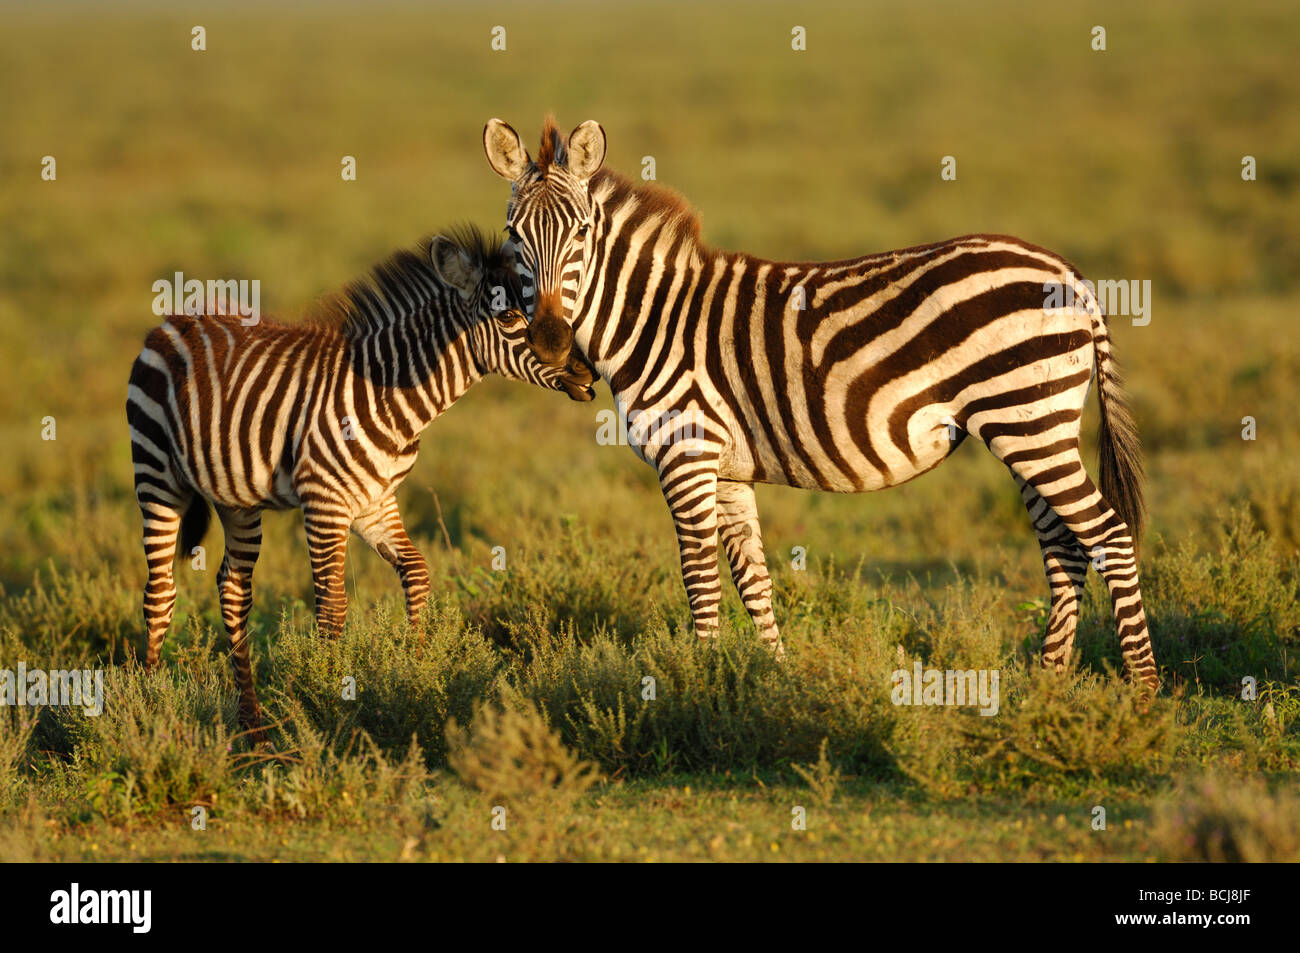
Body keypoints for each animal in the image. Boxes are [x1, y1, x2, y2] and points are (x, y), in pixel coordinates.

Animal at [126, 226, 596, 740]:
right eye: (510, 315)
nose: (587, 372)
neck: (393, 399)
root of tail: (174, 319)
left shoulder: (376, 501)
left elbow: (417, 572)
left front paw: (420, 674)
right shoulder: (325, 503)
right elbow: (332, 609)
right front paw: (326, 704)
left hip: (237, 498)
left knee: (233, 590)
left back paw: (252, 725)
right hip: (156, 475)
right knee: (160, 592)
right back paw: (149, 708)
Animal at [483, 117, 1158, 691]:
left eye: (582, 233)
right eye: (514, 236)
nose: (551, 339)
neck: (653, 318)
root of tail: (1068, 274)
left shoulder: (686, 455)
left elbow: (700, 580)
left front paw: (696, 686)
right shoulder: (728, 470)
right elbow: (753, 579)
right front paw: (774, 681)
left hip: (1030, 424)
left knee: (1109, 535)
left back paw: (1143, 690)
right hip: (1031, 426)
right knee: (1065, 546)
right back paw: (1048, 684)